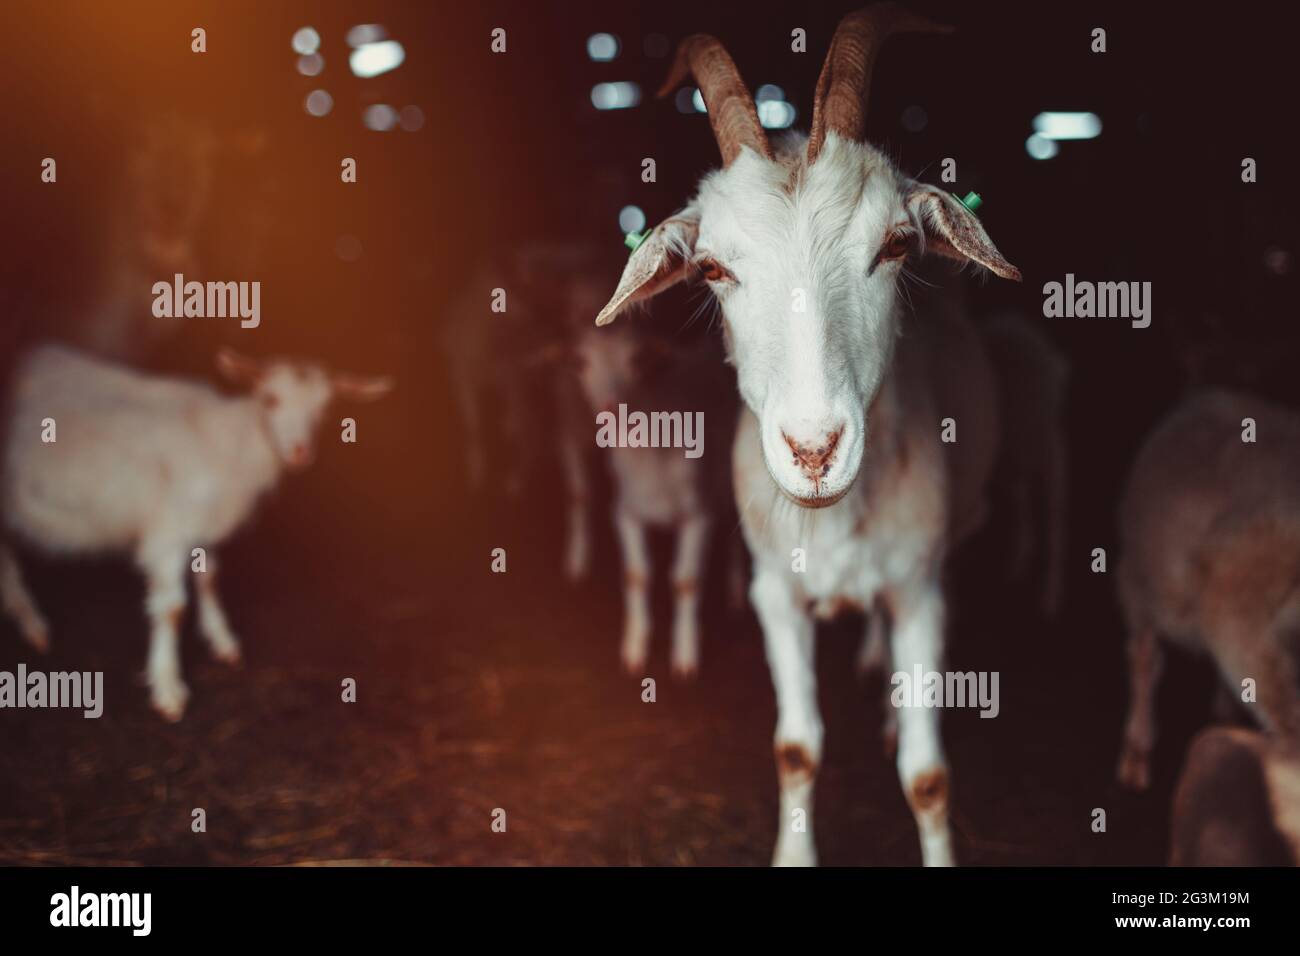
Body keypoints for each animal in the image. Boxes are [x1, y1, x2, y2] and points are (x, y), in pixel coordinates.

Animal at [0, 345, 391, 720]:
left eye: (324, 409)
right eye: (270, 399)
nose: (300, 451)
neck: (230, 446)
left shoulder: (203, 526)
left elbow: (210, 579)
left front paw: (223, 641)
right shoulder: (167, 533)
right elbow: (172, 608)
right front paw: (168, 688)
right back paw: (32, 622)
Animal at [592, 5, 1021, 865]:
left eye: (895, 246)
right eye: (712, 269)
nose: (815, 450)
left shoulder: (919, 588)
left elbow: (929, 778)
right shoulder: (773, 593)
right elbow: (796, 750)